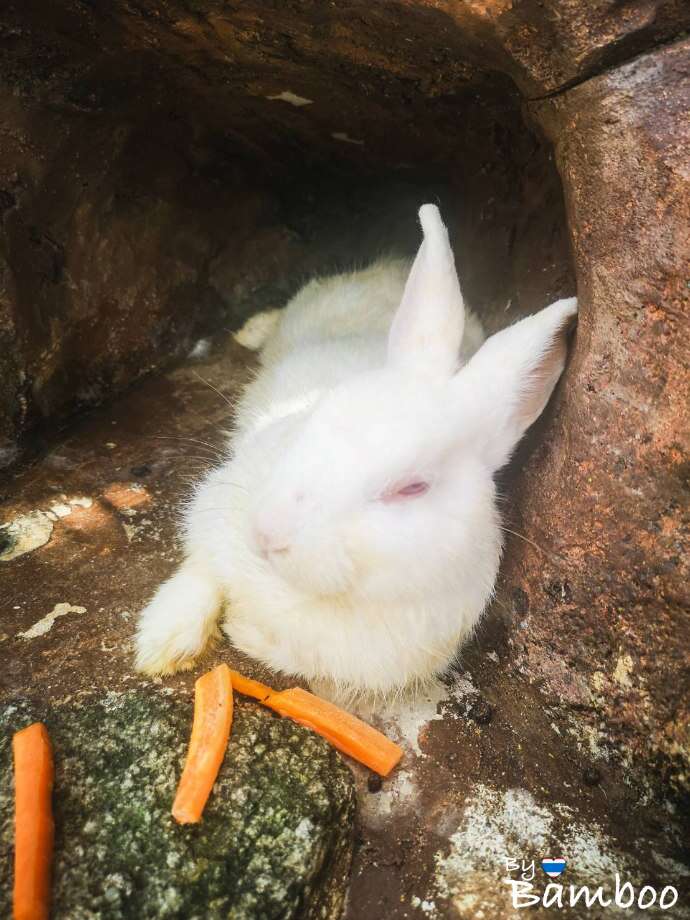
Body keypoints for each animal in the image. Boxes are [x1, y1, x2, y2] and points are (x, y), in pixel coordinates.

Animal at [135, 204, 577, 697]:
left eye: (412, 488)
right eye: (322, 409)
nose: (266, 532)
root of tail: (393, 270)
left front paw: (242, 631)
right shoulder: (216, 508)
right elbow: (201, 573)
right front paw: (162, 642)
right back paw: (251, 330)